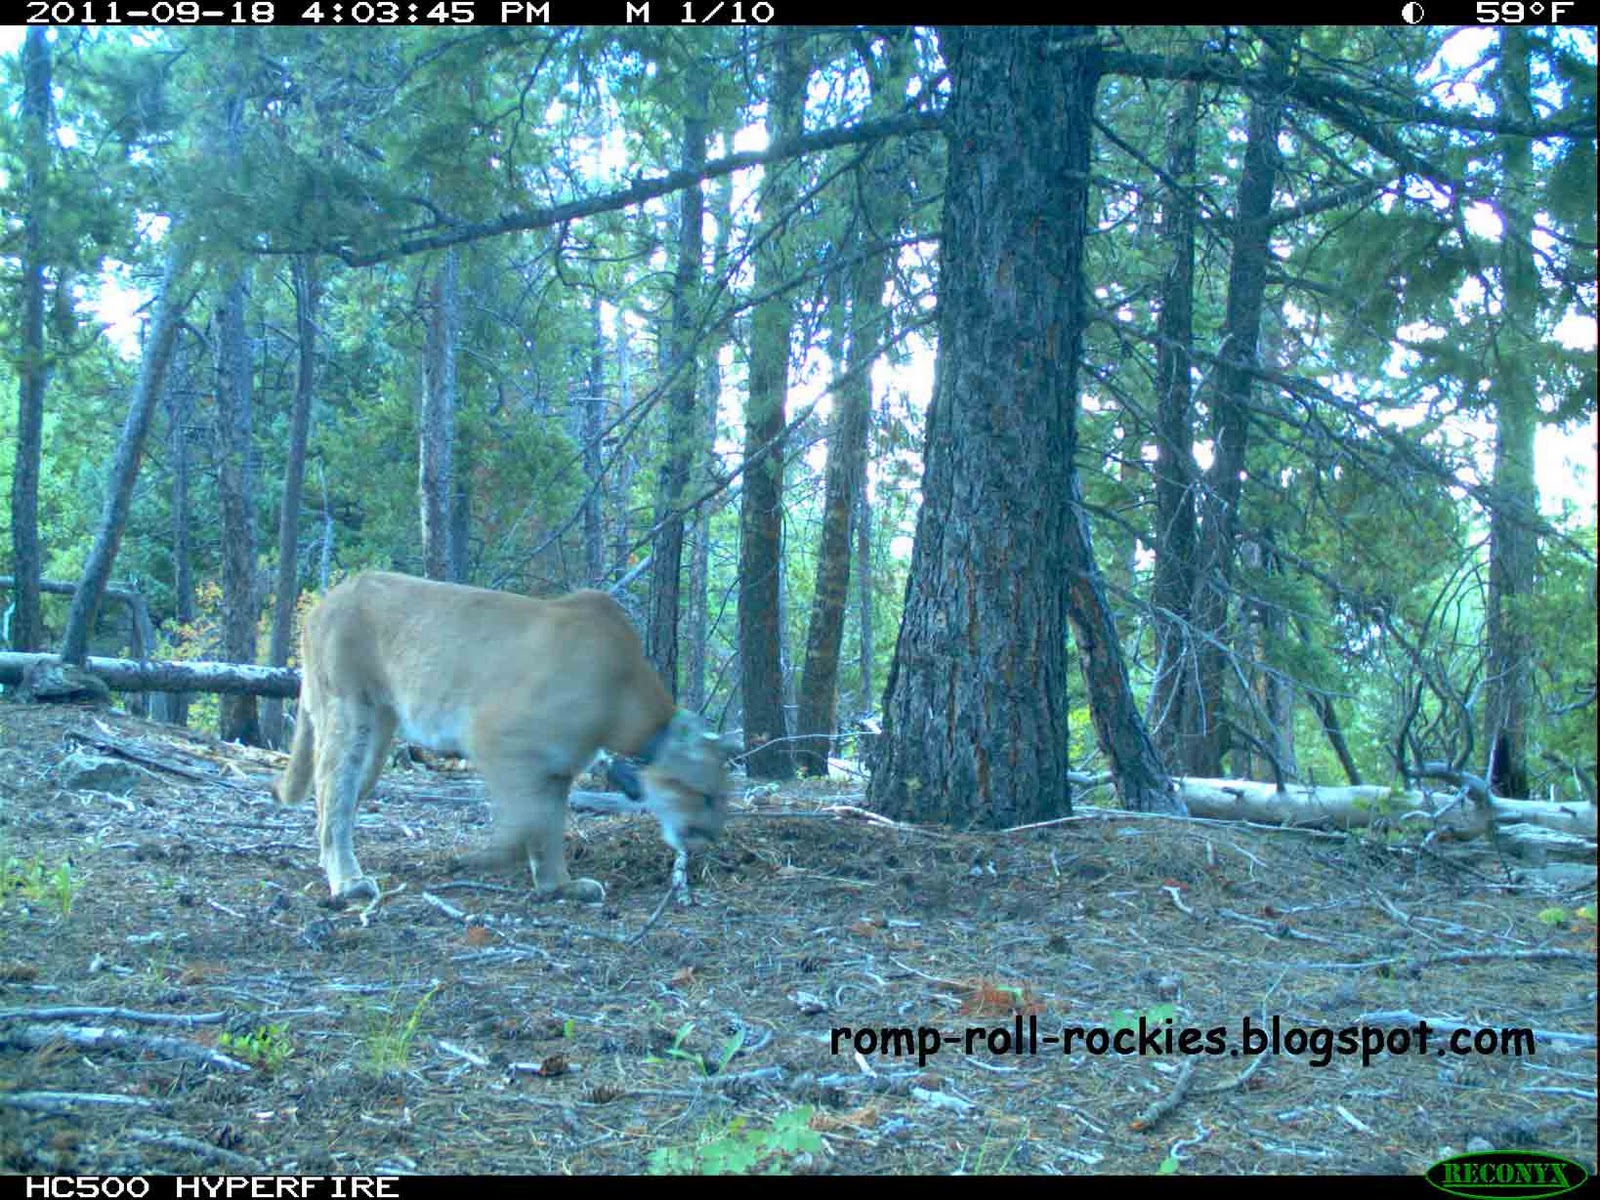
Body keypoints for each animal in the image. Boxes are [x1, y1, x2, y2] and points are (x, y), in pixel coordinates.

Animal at [273, 571, 740, 906]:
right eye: (707, 795)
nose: (713, 836)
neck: (625, 696)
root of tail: (324, 601)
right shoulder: (494, 735)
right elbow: (528, 818)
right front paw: (488, 859)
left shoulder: (558, 765)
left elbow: (550, 824)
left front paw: (558, 885)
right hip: (351, 713)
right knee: (332, 792)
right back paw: (348, 881)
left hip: (377, 735)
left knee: (332, 798)